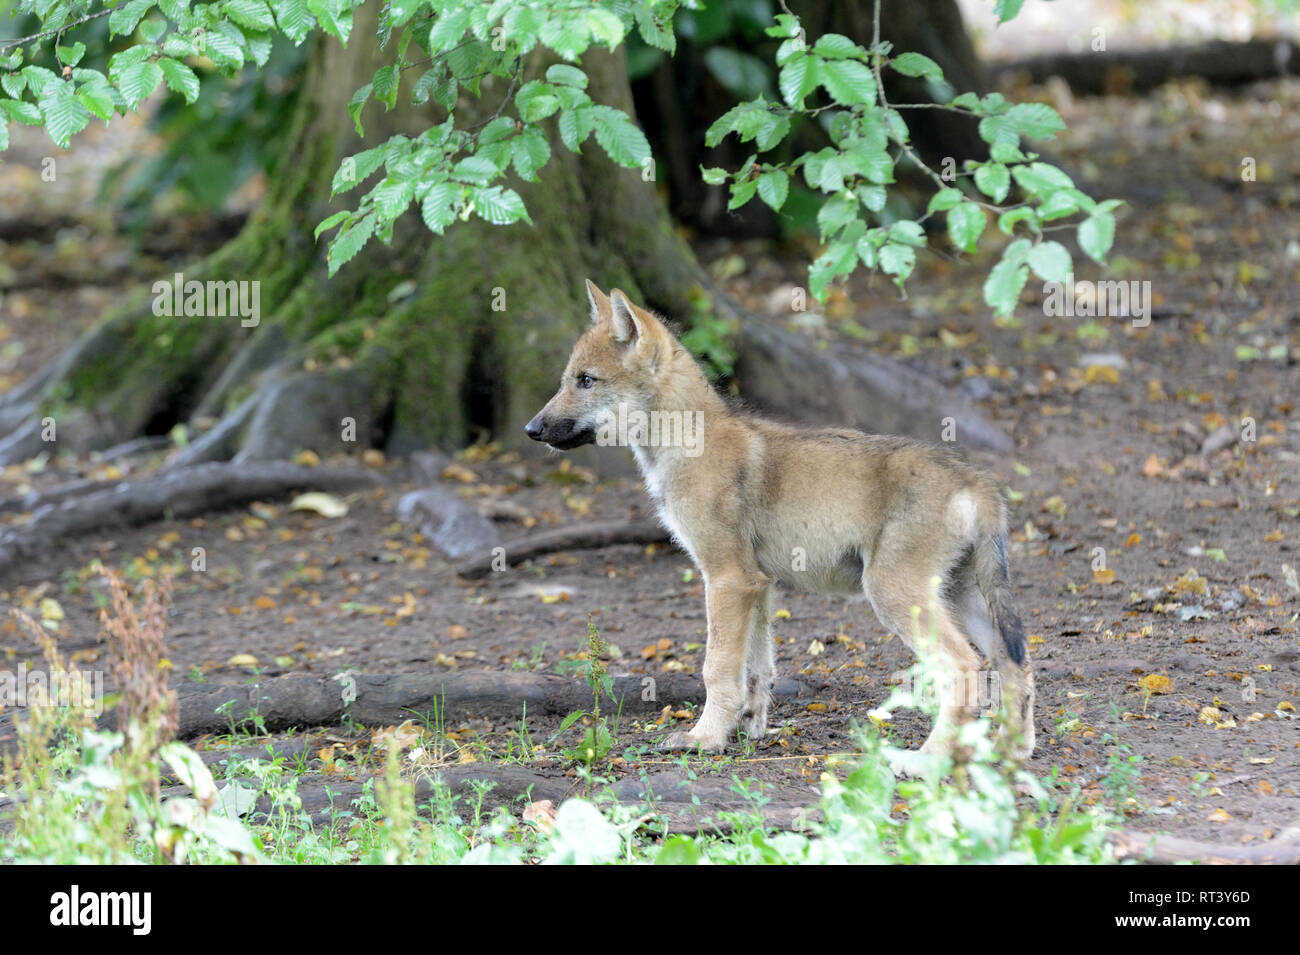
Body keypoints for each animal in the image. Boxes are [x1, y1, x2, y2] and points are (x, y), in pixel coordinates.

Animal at [525, 281, 1035, 761]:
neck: (685, 446)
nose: (531, 430)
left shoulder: (727, 579)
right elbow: (757, 670)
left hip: (895, 595)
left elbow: (716, 669)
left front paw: (703, 739)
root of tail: (977, 479)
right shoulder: (759, 584)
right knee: (1016, 666)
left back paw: (927, 761)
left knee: (964, 668)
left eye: (586, 381)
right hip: (963, 599)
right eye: (568, 380)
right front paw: (747, 730)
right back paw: (1012, 754)